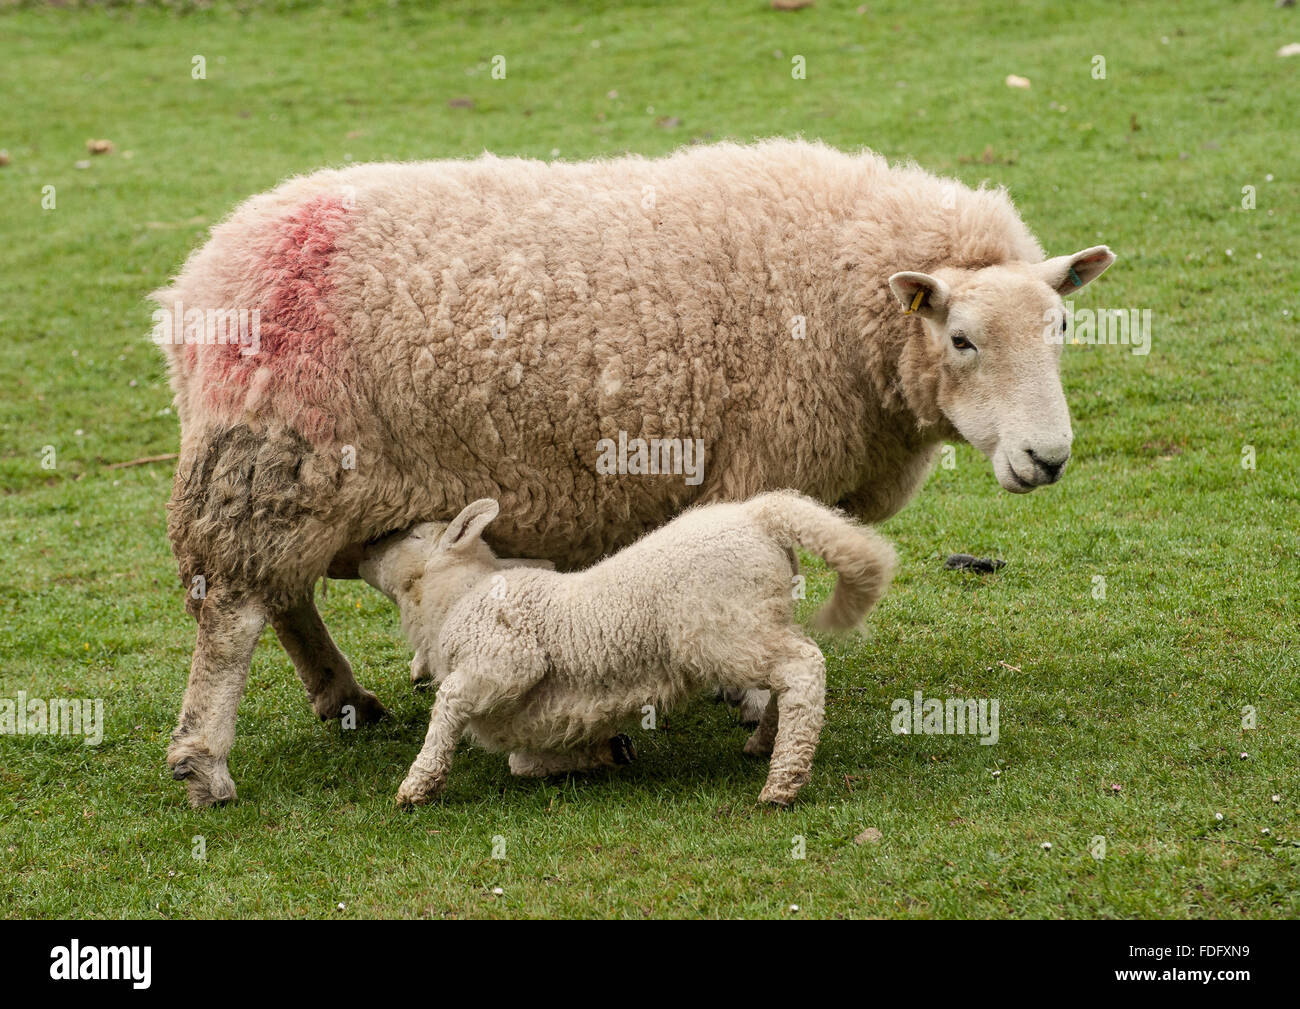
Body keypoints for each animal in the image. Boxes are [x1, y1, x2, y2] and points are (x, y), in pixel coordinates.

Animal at [358, 491, 897, 806]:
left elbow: (447, 704)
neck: (455, 601)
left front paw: (417, 785)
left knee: (803, 666)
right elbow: (524, 763)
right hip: (757, 619)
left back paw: (783, 780)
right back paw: (766, 743)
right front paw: (608, 751)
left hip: (725, 630)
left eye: (413, 534)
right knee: (788, 674)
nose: (366, 548)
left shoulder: (507, 659)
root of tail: (757, 514)